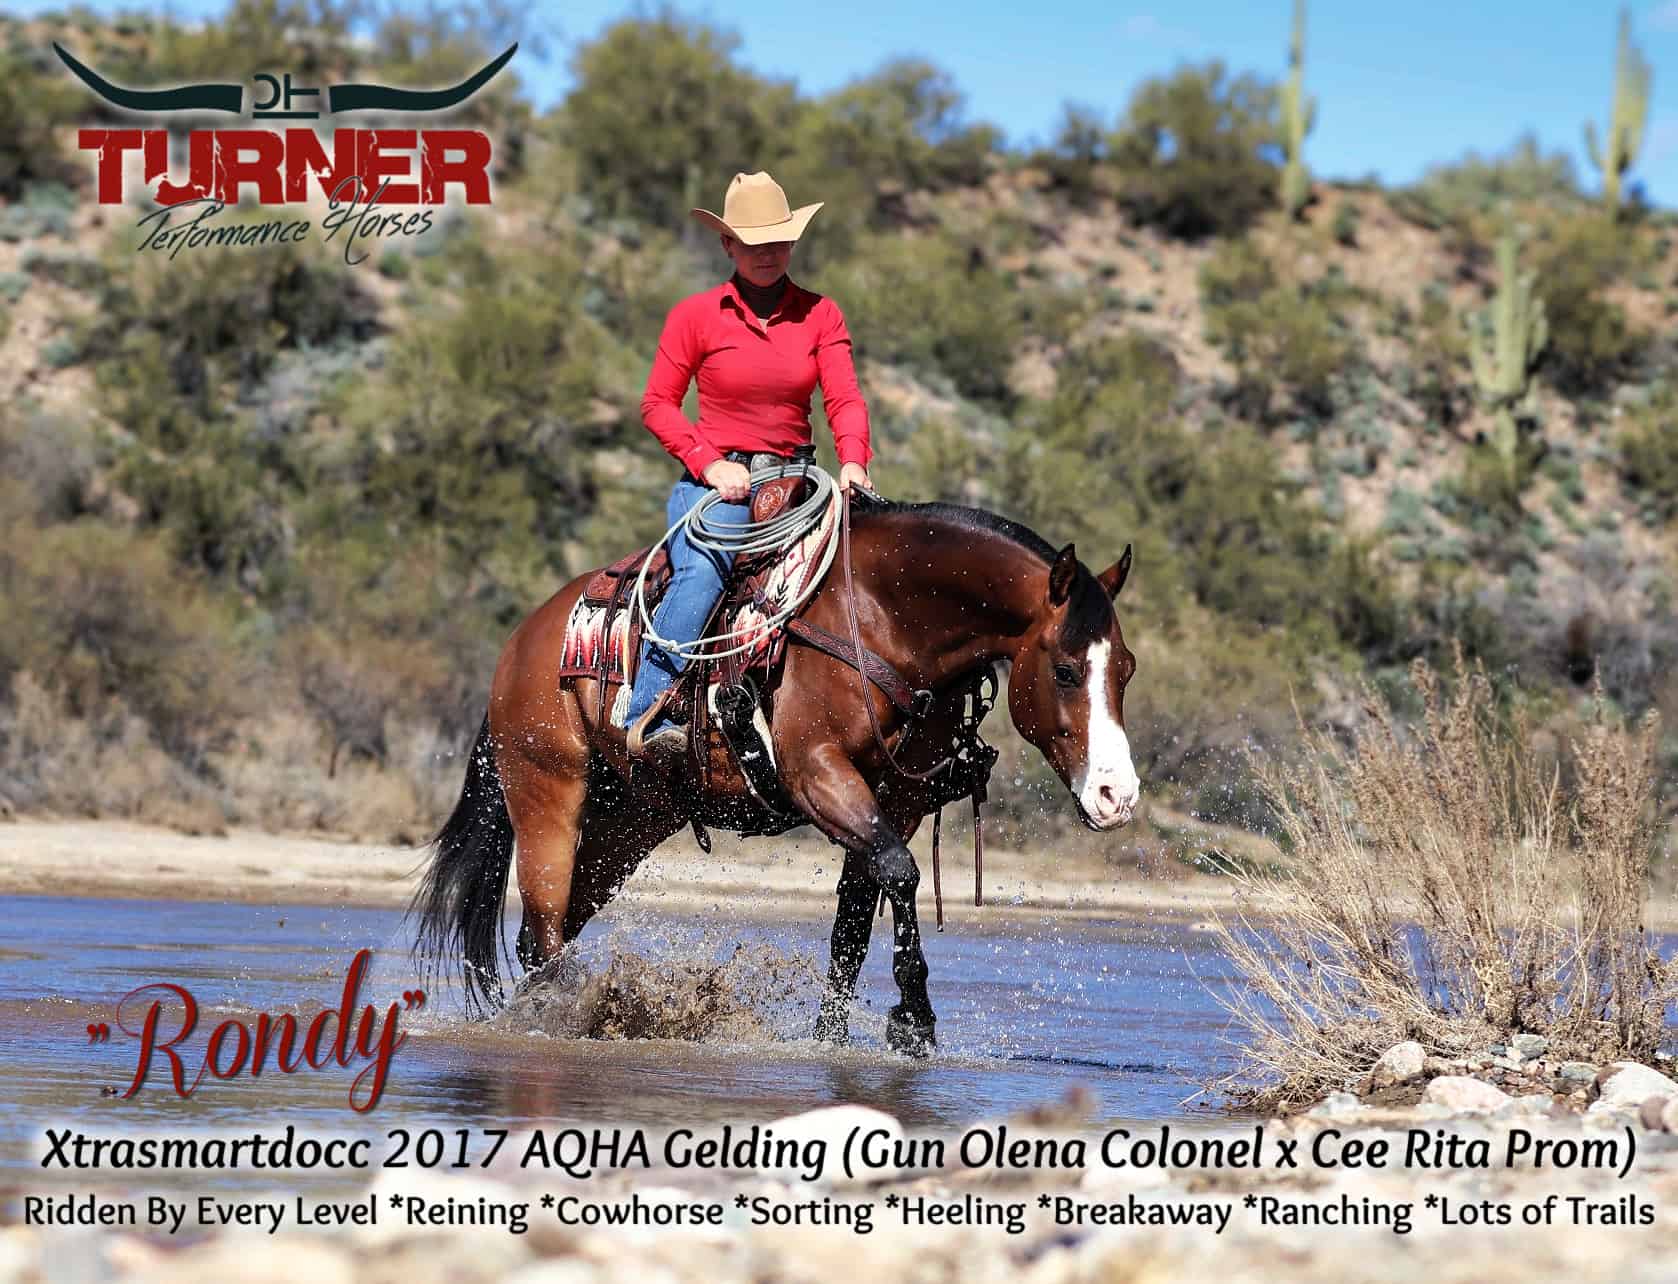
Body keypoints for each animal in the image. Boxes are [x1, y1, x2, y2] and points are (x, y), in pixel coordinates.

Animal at [411, 496, 1139, 1056]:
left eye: (1126, 669)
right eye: (1066, 669)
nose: (1117, 795)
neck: (882, 617)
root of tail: (522, 642)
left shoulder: (895, 802)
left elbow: (857, 916)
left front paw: (835, 1037)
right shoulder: (817, 775)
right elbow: (899, 874)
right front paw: (914, 1021)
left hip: (632, 821)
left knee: (553, 930)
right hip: (547, 795)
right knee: (542, 926)